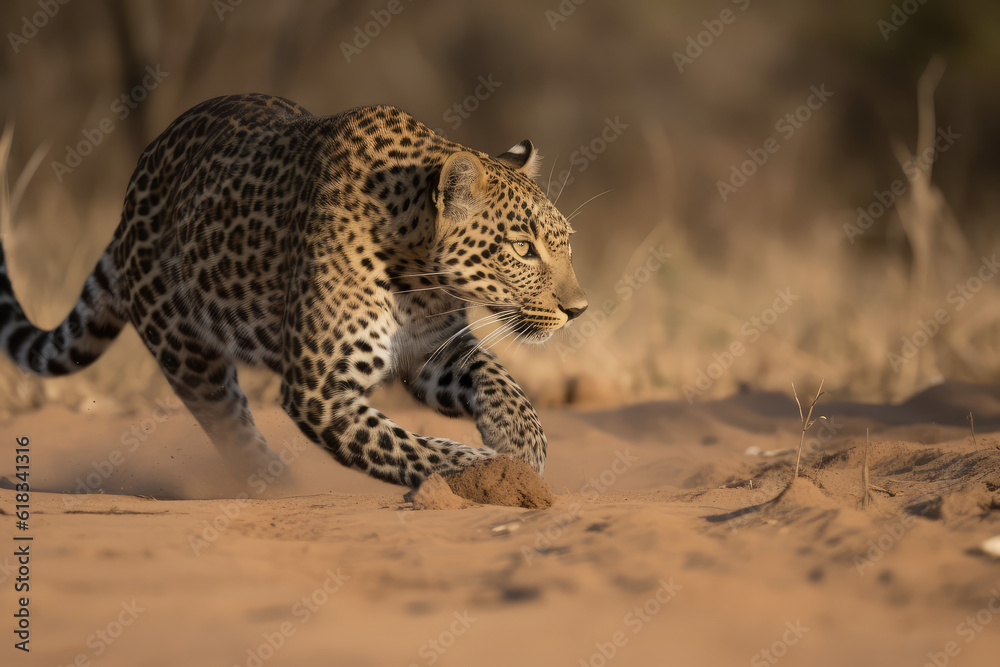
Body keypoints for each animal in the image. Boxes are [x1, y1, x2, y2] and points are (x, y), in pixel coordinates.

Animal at [0, 94, 588, 489]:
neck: (417, 278)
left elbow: (500, 379)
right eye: (522, 248)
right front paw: (492, 471)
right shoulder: (318, 390)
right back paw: (271, 482)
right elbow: (408, 449)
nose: (578, 310)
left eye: (565, 243)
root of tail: (132, 190)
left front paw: (520, 443)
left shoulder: (431, 354)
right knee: (228, 424)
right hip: (186, 349)